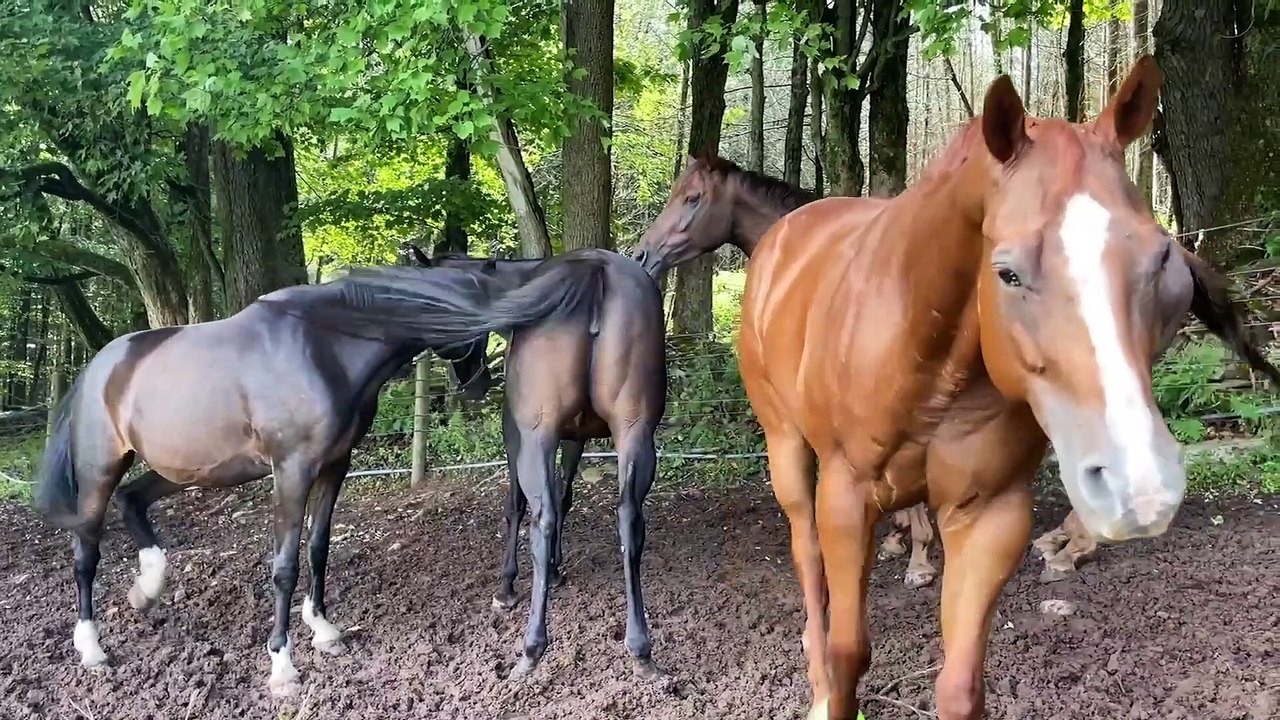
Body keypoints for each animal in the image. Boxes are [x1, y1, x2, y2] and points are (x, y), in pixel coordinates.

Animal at [31, 260, 601, 696]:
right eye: (472, 327)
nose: (480, 387)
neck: (324, 346)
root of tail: (98, 368)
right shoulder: (293, 470)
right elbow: (284, 565)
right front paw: (282, 664)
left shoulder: (334, 466)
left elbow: (318, 547)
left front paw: (324, 629)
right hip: (100, 470)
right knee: (86, 551)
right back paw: (91, 647)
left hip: (187, 471)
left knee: (134, 501)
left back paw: (146, 589)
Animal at [292, 247, 668, 679]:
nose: (475, 385)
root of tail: (597, 271)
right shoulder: (576, 436)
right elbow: (566, 496)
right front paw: (556, 569)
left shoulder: (517, 434)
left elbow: (518, 506)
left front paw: (508, 586)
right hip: (635, 435)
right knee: (628, 519)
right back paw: (640, 649)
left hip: (540, 438)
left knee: (542, 519)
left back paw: (531, 649)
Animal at [644, 56, 1277, 720]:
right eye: (1008, 272)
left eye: (1156, 259)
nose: (645, 252)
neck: (928, 352)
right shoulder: (845, 496)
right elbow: (848, 652)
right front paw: (907, 566)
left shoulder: (989, 514)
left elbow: (960, 684)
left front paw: (917, 558)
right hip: (785, 446)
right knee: (806, 554)